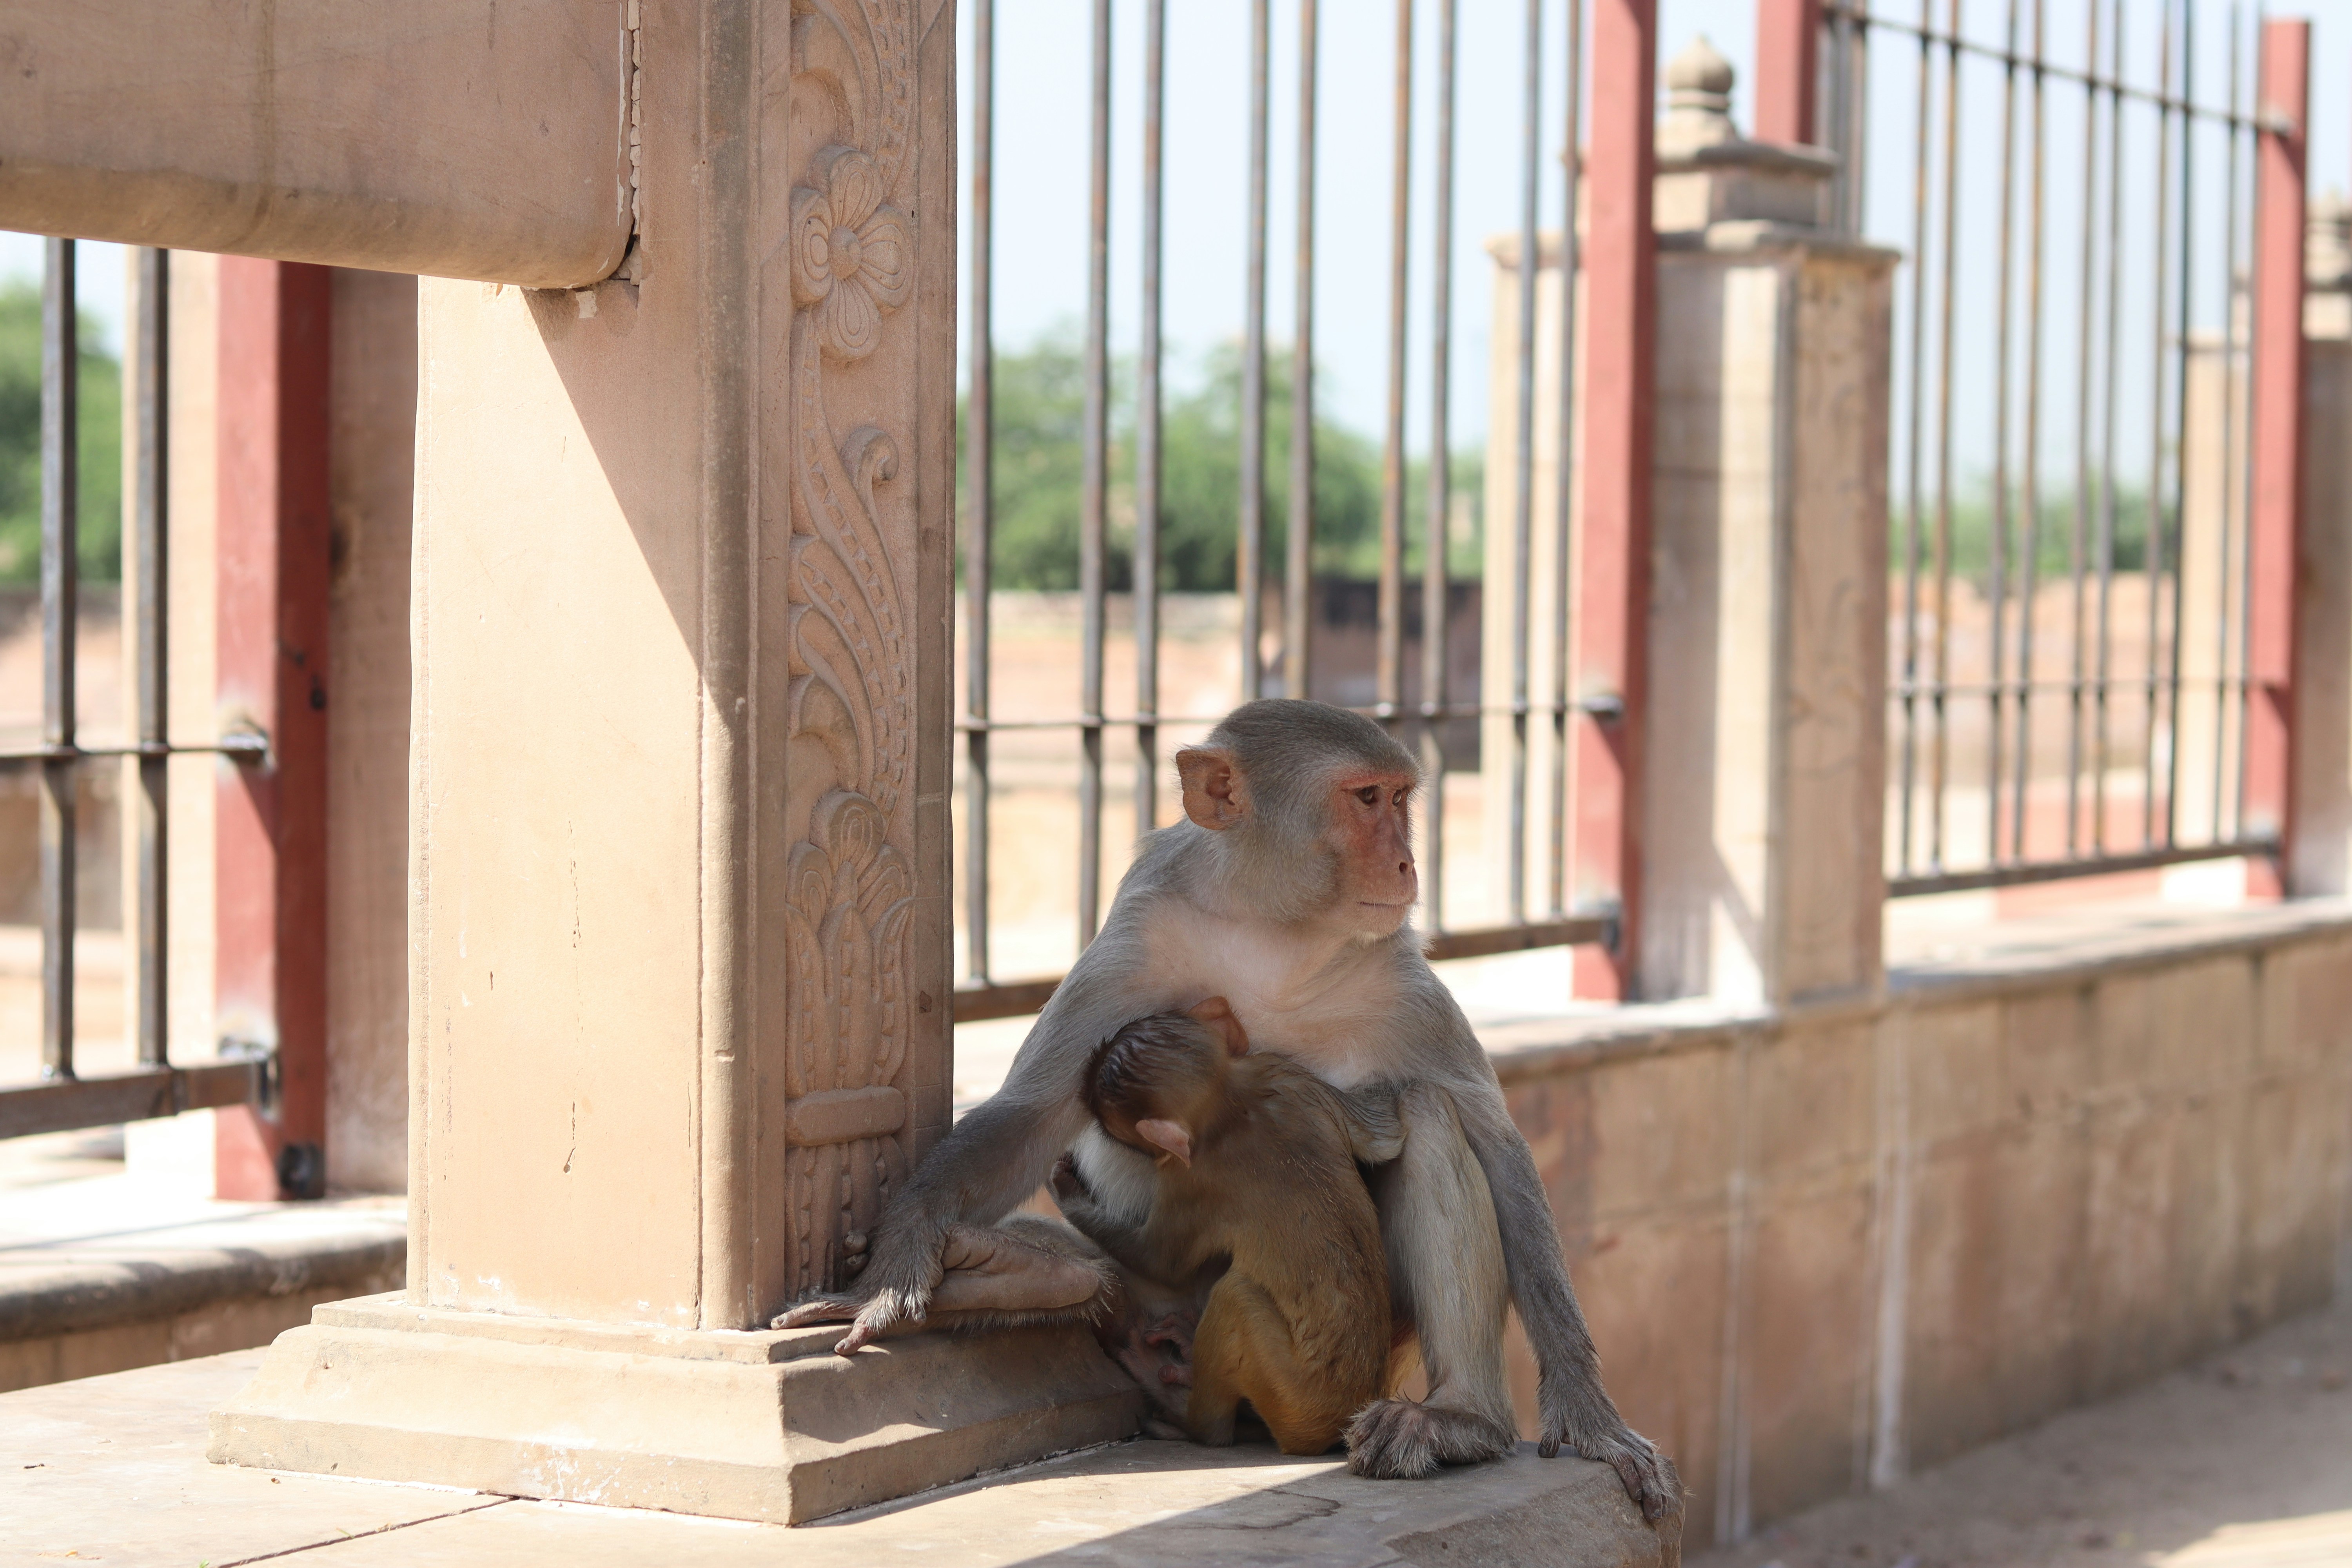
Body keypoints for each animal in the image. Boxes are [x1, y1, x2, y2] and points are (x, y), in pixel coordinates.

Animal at [1049, 998, 1401, 1457]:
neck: (1231, 1102)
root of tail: (1337, 1423)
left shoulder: (1193, 1181)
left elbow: (1161, 1263)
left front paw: (1067, 1194)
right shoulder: (1284, 1074)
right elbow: (1387, 1132)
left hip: (1290, 1393)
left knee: (1235, 1298)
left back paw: (1188, 1415)